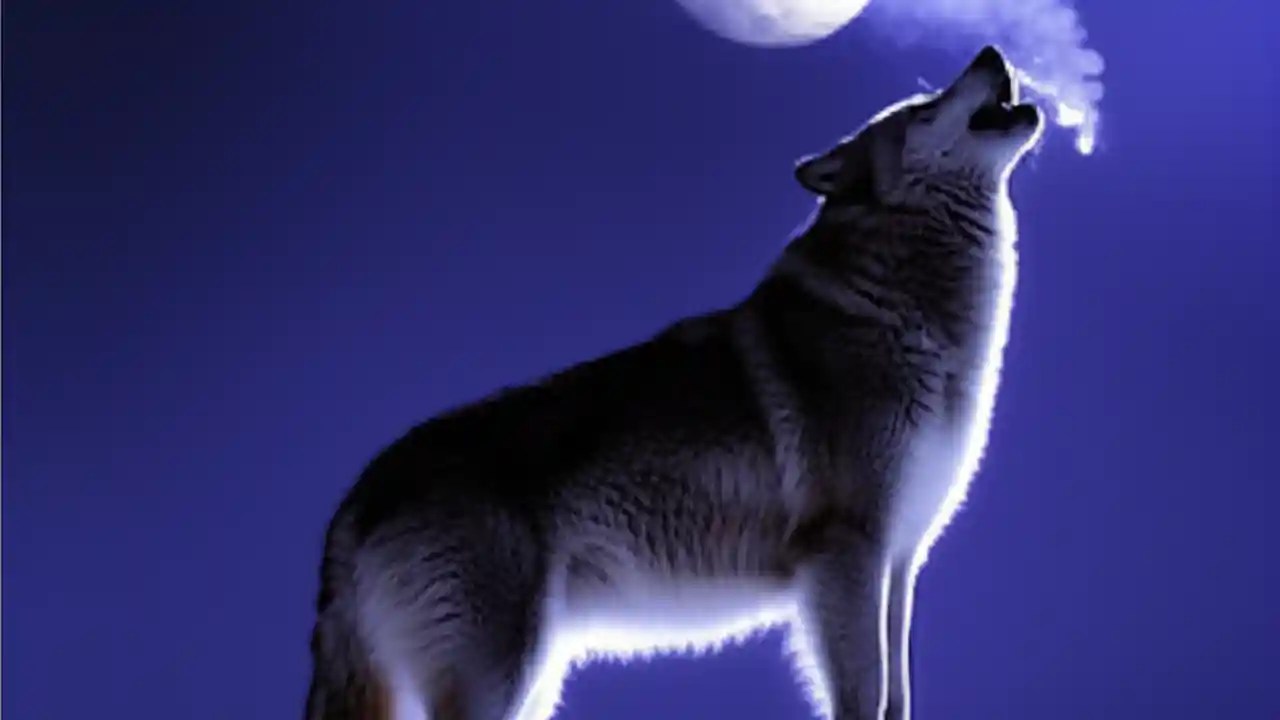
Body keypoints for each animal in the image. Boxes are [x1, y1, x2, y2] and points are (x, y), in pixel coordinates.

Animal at [304, 45, 1044, 720]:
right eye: (923, 106)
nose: (992, 51)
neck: (904, 312)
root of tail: (354, 499)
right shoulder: (848, 556)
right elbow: (864, 697)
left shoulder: (898, 564)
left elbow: (899, 696)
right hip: (501, 684)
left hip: (533, 683)